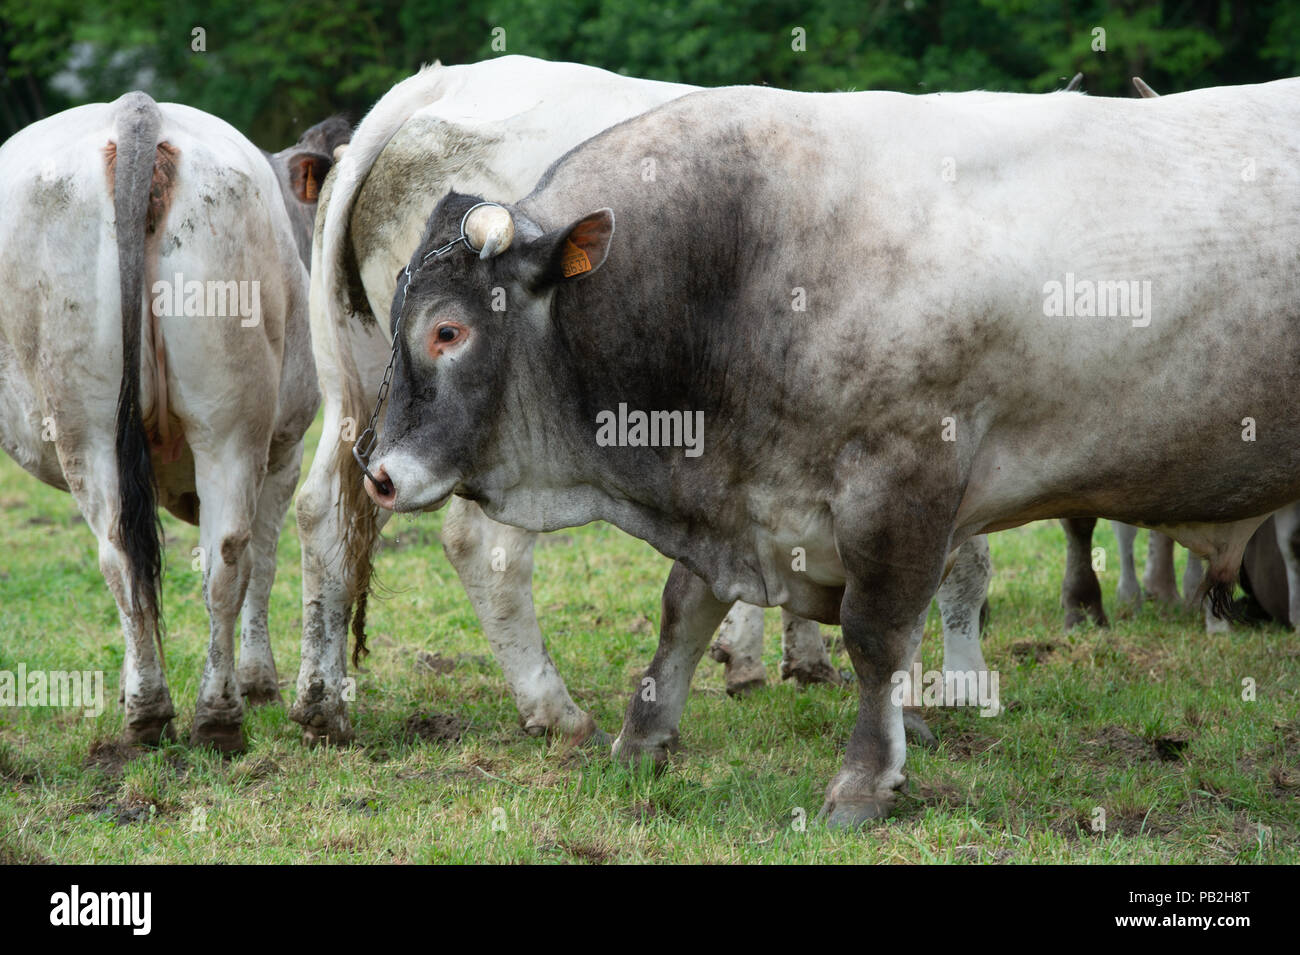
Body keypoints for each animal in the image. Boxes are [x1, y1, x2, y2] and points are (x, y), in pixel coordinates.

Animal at [0, 92, 347, 749]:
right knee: (227, 557)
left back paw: (151, 711)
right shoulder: (285, 446)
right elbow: (265, 561)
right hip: (232, 428)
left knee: (123, 557)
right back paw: (217, 715)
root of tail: (137, 109)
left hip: (93, 430)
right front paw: (260, 681)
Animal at [359, 77, 1300, 826]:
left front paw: (864, 779)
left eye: (448, 330)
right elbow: (684, 609)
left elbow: (877, 636)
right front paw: (642, 737)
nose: (379, 470)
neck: (747, 256)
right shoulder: (740, 494)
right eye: (400, 316)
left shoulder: (905, 481)